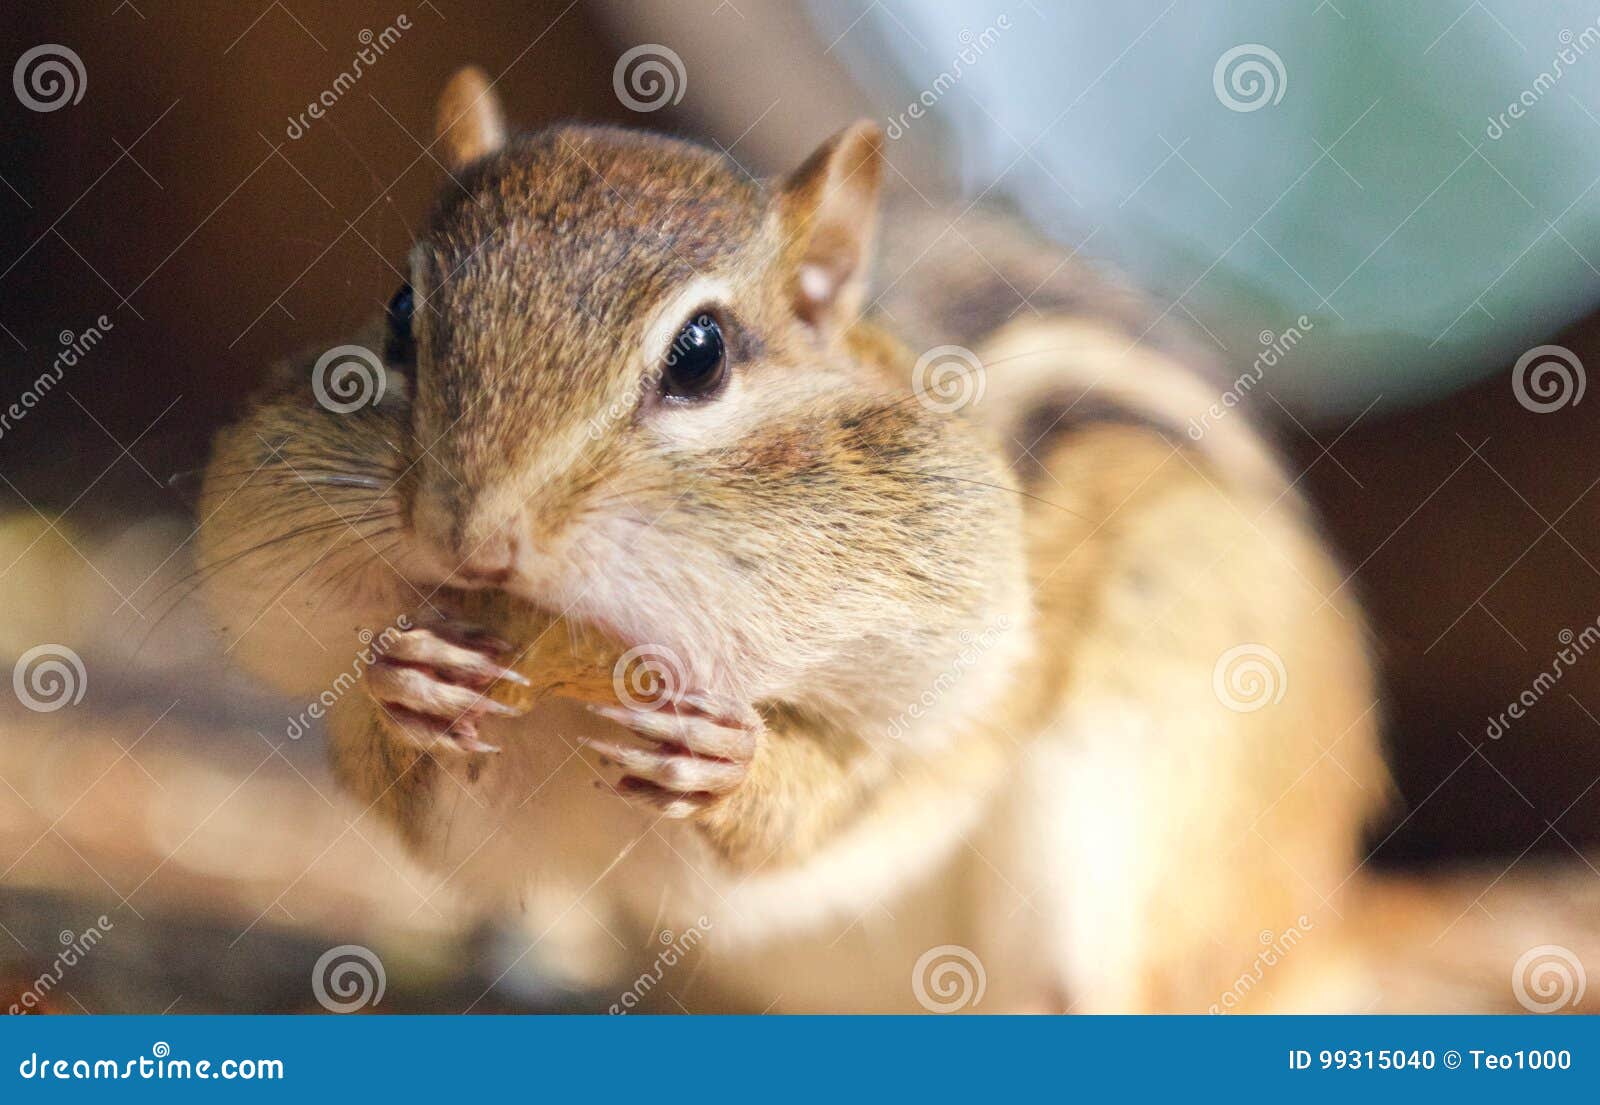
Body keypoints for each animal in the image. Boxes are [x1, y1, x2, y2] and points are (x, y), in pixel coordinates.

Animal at [196, 68, 1584, 1013]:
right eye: (398, 315)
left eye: (699, 354)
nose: (472, 537)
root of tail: (1325, 909)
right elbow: (446, 817)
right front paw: (407, 681)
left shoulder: (967, 690)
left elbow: (848, 797)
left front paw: (736, 759)